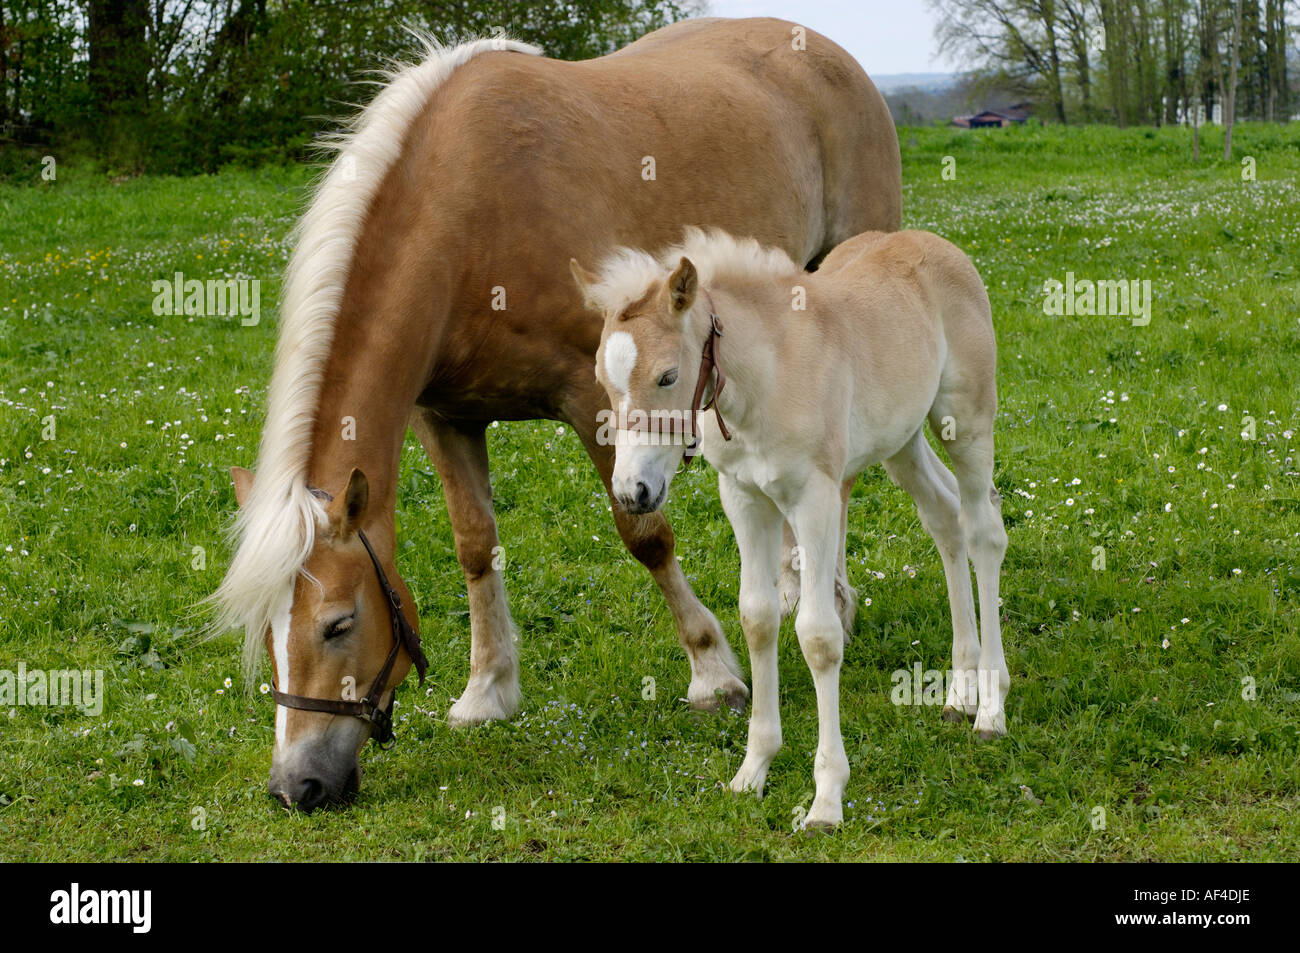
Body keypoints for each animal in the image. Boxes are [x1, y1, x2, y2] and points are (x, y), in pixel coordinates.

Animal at [209, 17, 901, 811]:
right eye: (267, 635)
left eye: (338, 624)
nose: (298, 785)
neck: (470, 215)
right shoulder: (443, 415)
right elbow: (475, 544)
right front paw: (487, 689)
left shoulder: (598, 397)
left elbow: (644, 535)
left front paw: (712, 671)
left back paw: (829, 597)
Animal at [573, 227, 1008, 829]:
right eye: (601, 380)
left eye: (667, 376)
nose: (632, 492)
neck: (767, 376)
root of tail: (933, 243)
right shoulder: (744, 497)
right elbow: (757, 619)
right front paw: (752, 771)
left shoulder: (815, 499)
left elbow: (819, 636)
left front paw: (826, 798)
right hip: (900, 440)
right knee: (946, 519)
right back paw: (960, 691)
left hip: (964, 422)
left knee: (984, 531)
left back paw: (990, 708)